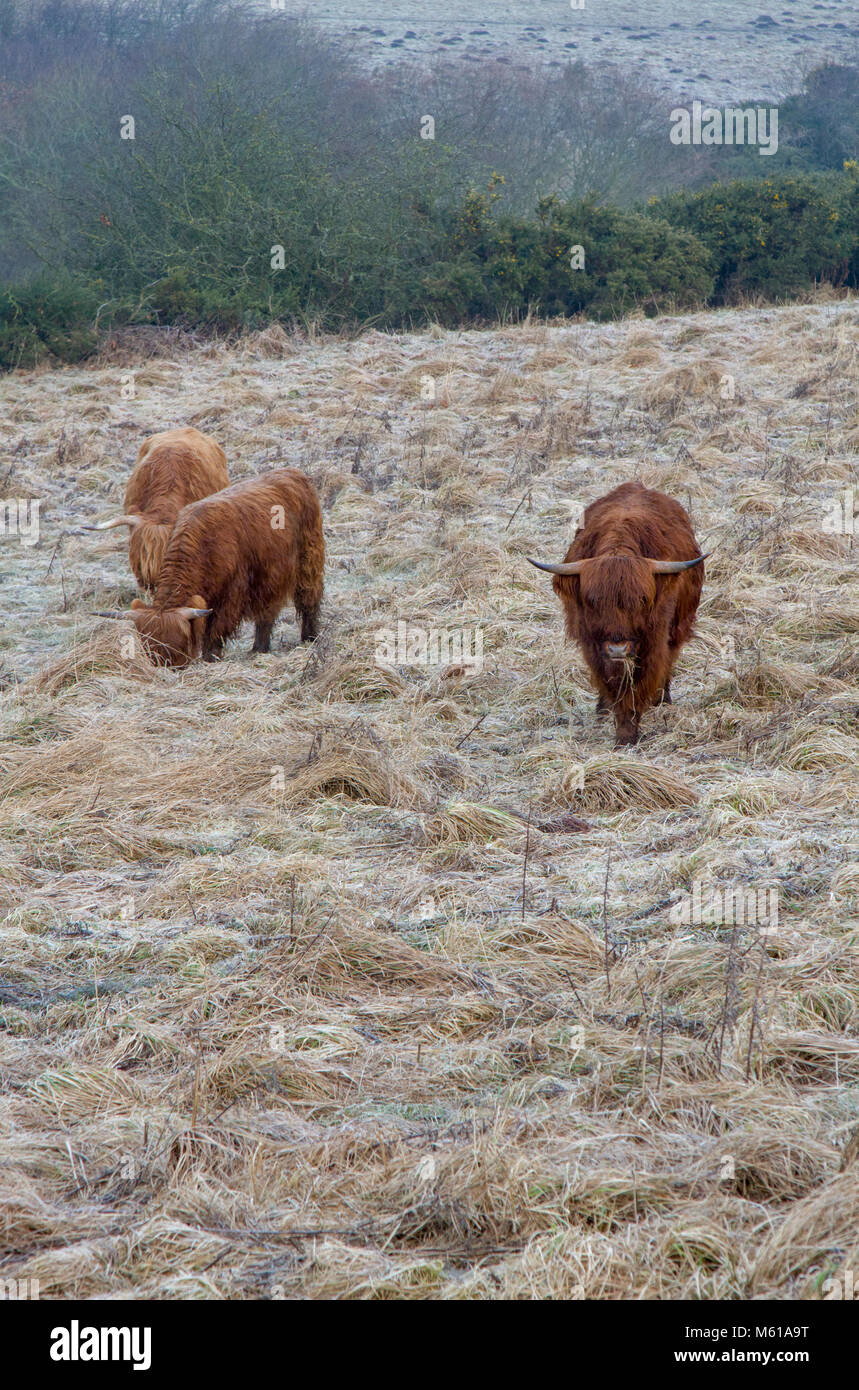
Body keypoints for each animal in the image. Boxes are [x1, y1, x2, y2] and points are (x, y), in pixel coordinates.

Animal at [97, 470, 324, 668]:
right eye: (147, 649)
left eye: (177, 647)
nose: (166, 669)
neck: (204, 547)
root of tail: (293, 473)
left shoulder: (232, 594)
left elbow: (216, 630)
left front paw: (210, 658)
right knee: (266, 612)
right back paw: (259, 648)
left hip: (308, 560)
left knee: (308, 600)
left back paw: (308, 637)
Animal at [528, 481, 706, 747]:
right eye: (592, 601)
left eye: (642, 599)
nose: (618, 649)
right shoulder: (592, 642)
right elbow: (611, 681)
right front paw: (619, 724)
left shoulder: (654, 641)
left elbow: (640, 682)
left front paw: (628, 733)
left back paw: (663, 700)